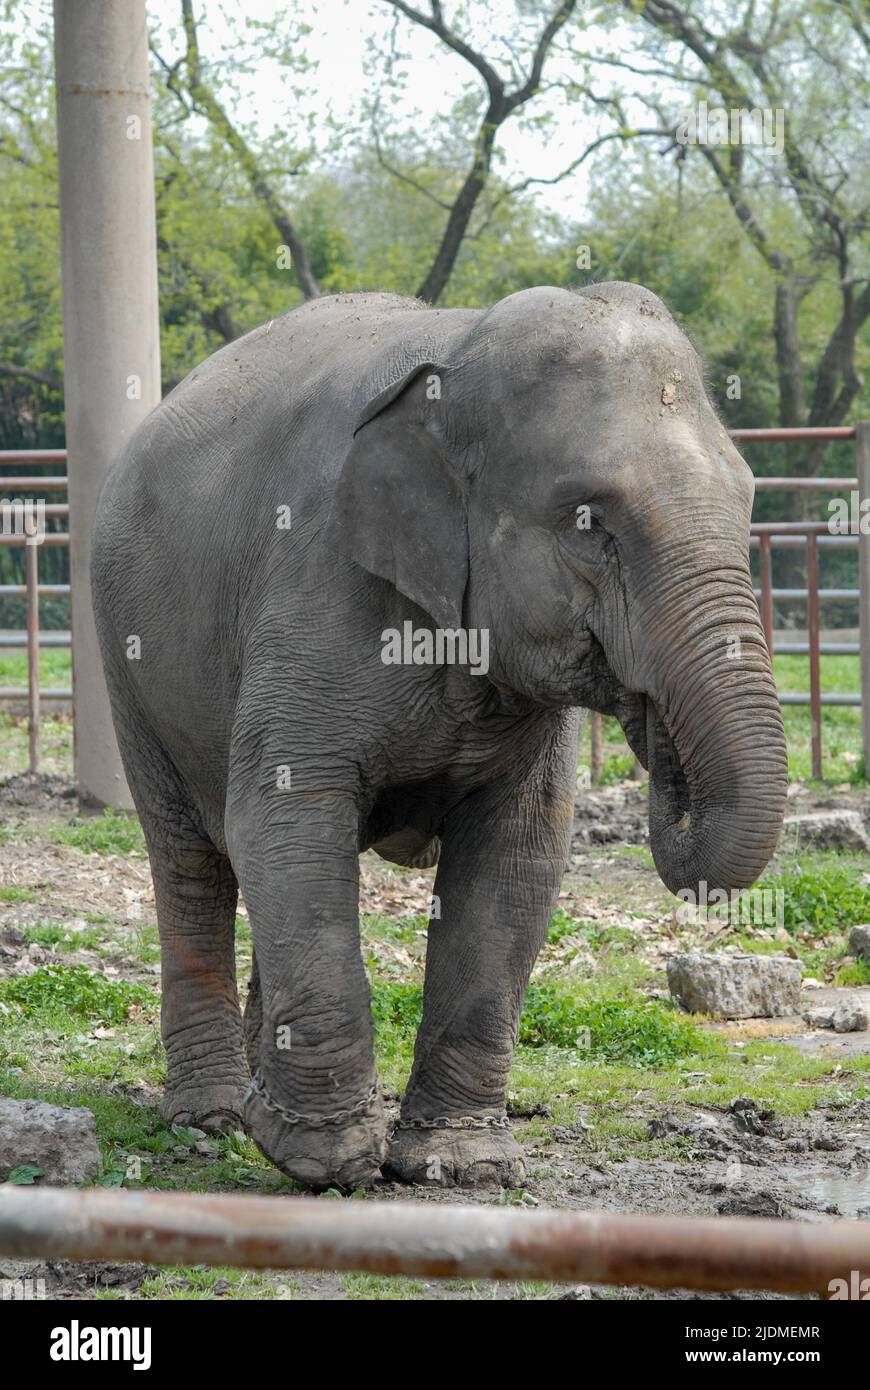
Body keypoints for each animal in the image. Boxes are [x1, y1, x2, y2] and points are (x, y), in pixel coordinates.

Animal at [91, 281, 788, 1189]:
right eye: (588, 521)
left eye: (746, 500)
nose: (660, 739)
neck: (456, 361)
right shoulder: (316, 586)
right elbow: (286, 818)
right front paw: (326, 1164)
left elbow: (517, 852)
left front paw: (459, 1169)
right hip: (128, 660)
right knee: (191, 860)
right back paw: (211, 1119)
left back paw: (253, 1099)